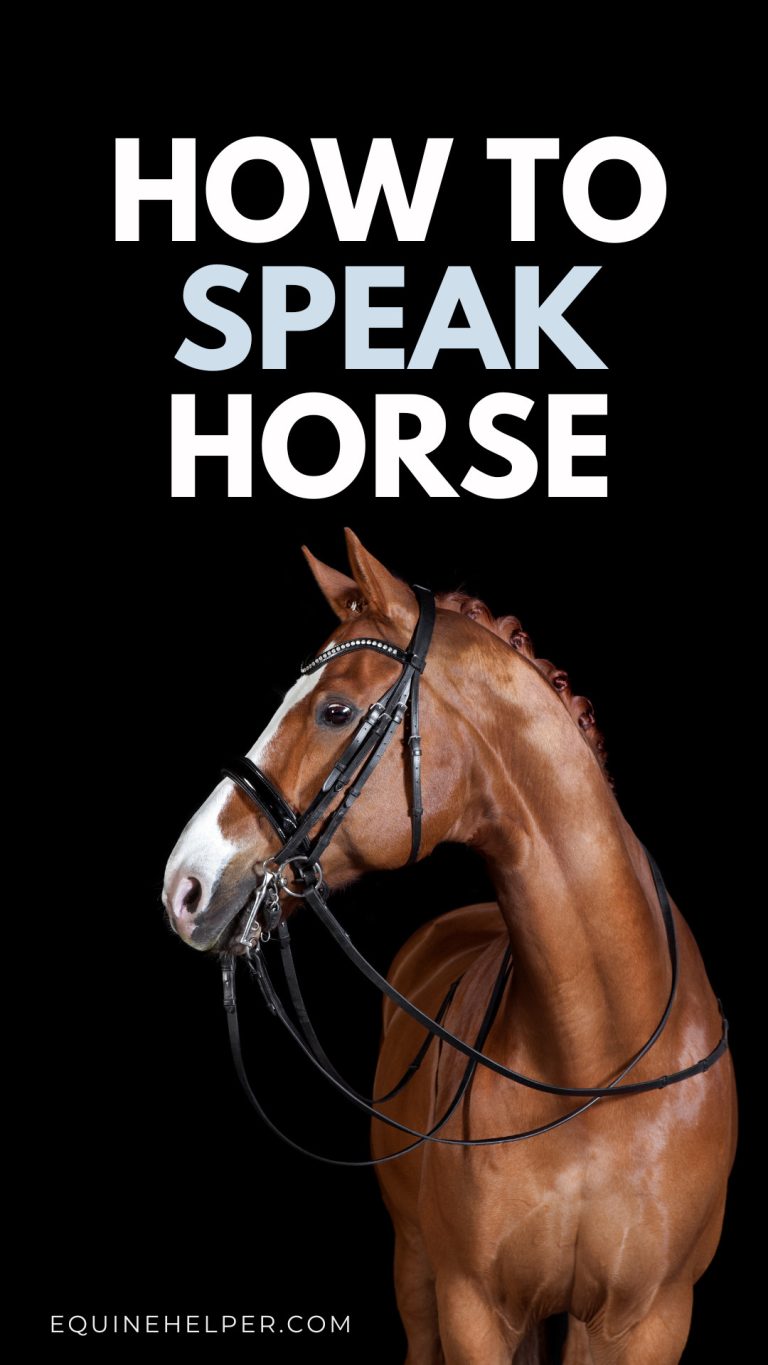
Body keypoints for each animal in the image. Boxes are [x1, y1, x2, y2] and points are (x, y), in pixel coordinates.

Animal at [162, 529, 736, 1364]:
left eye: (336, 709)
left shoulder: (651, 1317)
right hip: (416, 1267)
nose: (185, 884)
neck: (596, 1061)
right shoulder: (474, 1306)